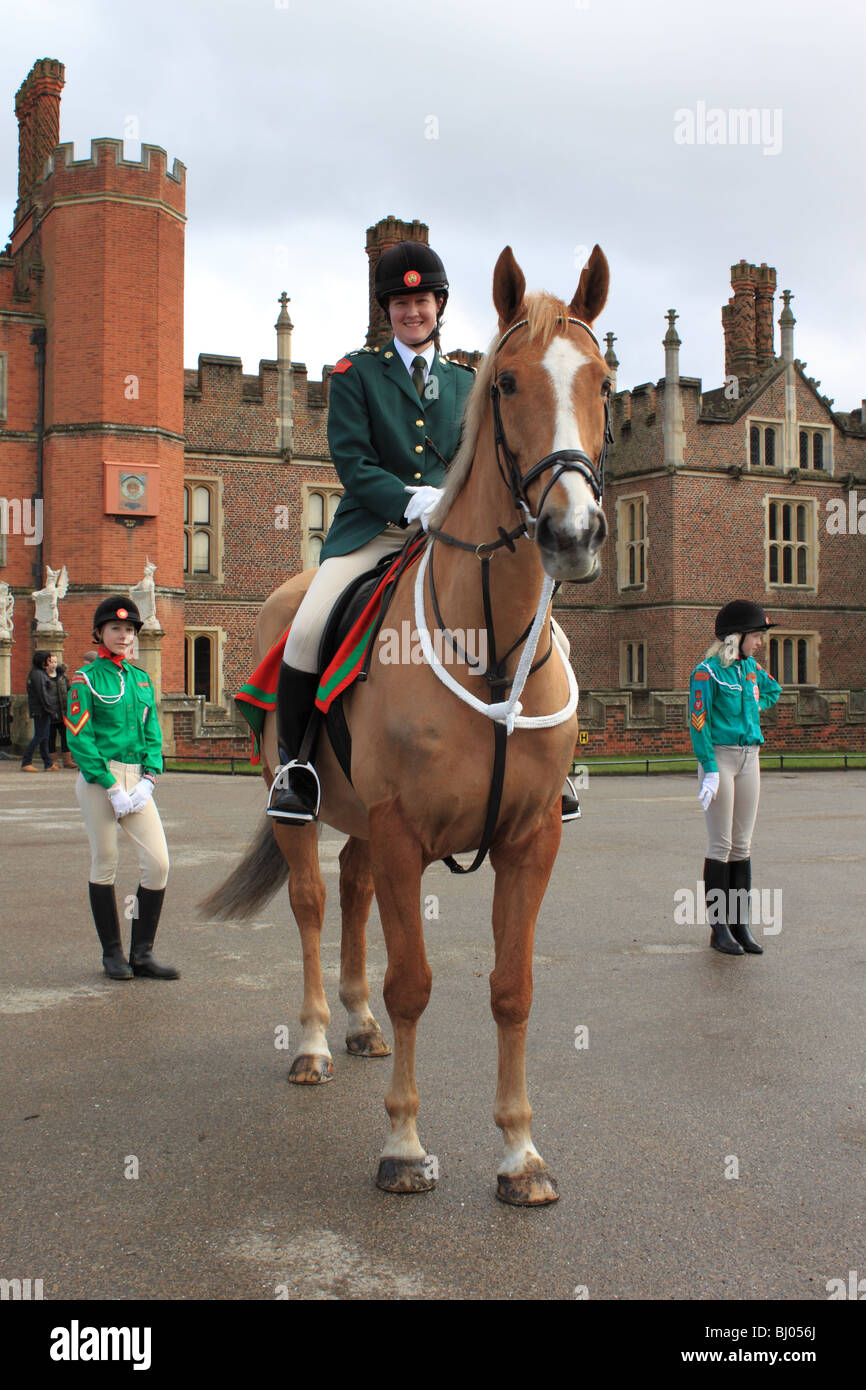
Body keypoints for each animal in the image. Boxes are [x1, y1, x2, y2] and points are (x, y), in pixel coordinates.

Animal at [202, 244, 611, 1205]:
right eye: (507, 381)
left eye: (606, 383)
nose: (574, 532)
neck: (490, 645)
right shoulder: (400, 833)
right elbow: (415, 985)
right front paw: (402, 1143)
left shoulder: (530, 840)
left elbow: (512, 987)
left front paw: (519, 1152)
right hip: (302, 805)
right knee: (316, 904)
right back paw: (317, 1039)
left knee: (350, 892)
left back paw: (354, 1026)